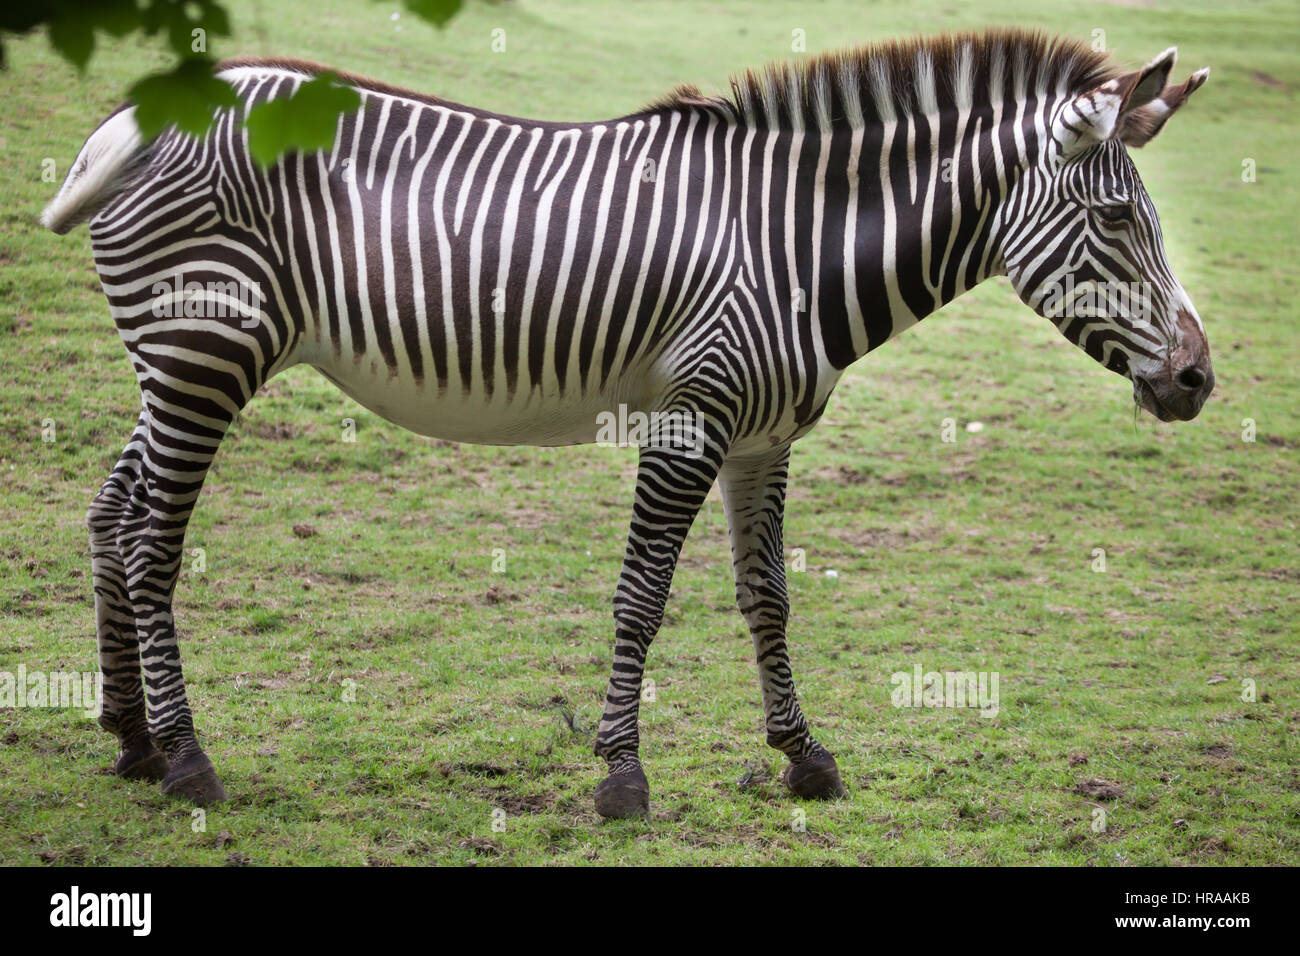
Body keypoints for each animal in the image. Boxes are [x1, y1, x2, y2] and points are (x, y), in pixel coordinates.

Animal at [41, 29, 1213, 818]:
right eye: (1117, 218)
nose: (1199, 380)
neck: (795, 250)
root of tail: (129, 116)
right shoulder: (691, 419)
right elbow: (643, 596)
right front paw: (621, 773)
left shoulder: (762, 439)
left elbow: (767, 598)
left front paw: (804, 756)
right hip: (205, 353)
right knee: (149, 541)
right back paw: (189, 760)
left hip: (175, 362)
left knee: (110, 514)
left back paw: (132, 741)